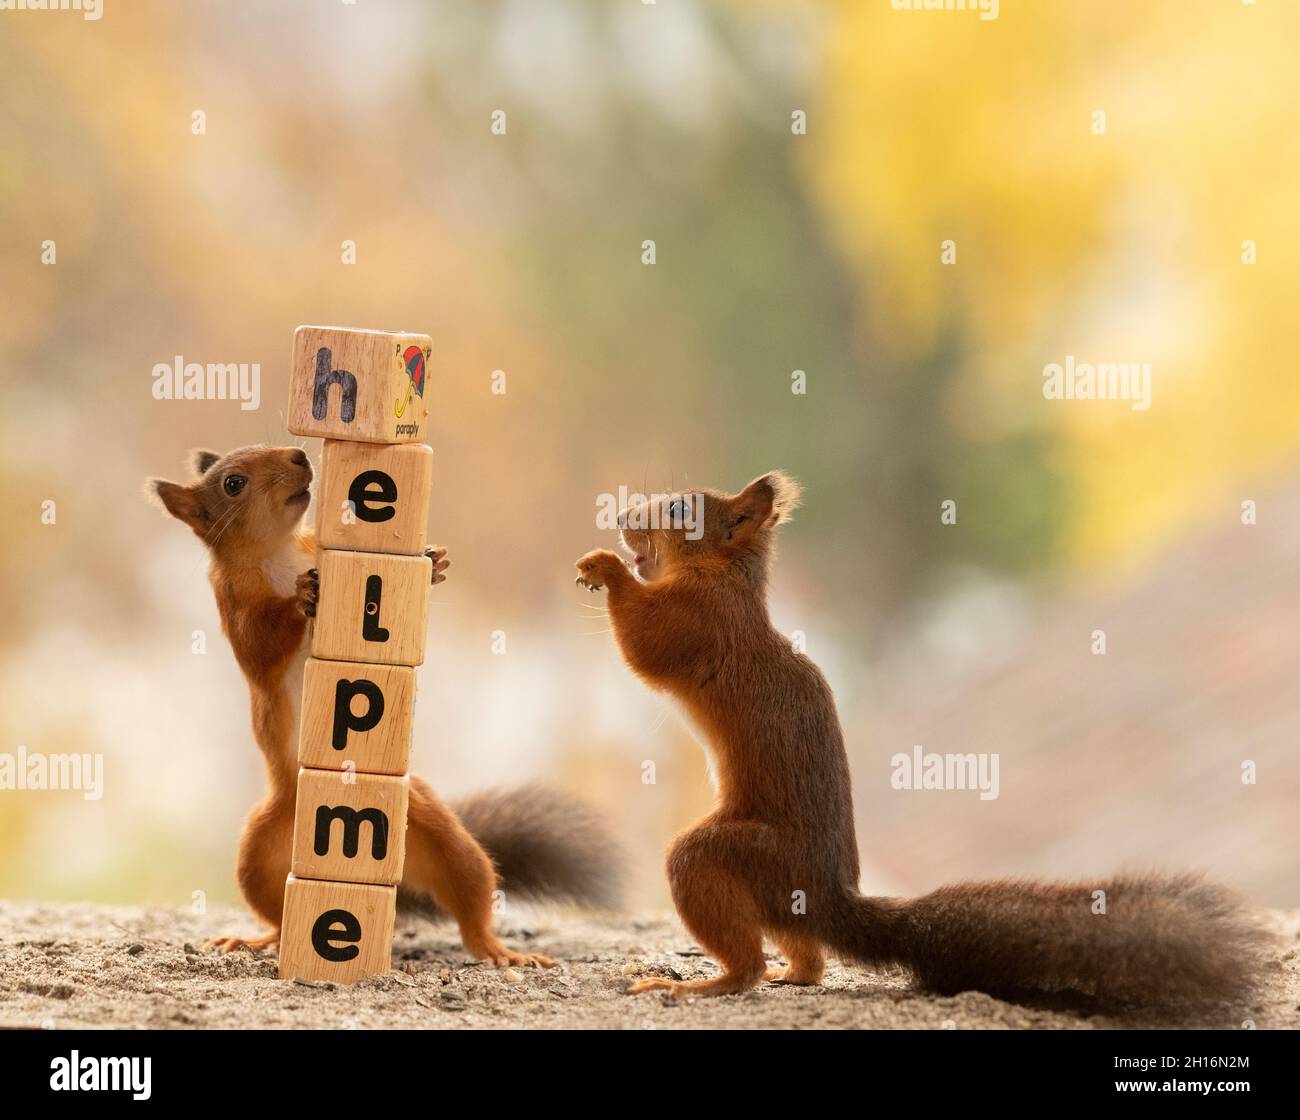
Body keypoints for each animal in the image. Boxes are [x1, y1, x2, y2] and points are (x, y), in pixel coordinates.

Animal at [148, 444, 620, 967]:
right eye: (233, 483)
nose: (299, 455)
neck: (280, 551)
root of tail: (401, 876)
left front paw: (434, 563)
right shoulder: (233, 605)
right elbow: (262, 642)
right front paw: (302, 595)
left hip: (443, 836)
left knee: (472, 901)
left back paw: (499, 951)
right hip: (258, 855)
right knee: (278, 913)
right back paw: (257, 938)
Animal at [575, 471, 1267, 1004]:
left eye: (678, 511)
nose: (624, 519)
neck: (726, 575)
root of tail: (828, 894)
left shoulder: (699, 620)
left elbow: (647, 647)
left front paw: (603, 568)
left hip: (737, 855)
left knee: (739, 942)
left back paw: (703, 985)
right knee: (810, 958)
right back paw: (788, 974)